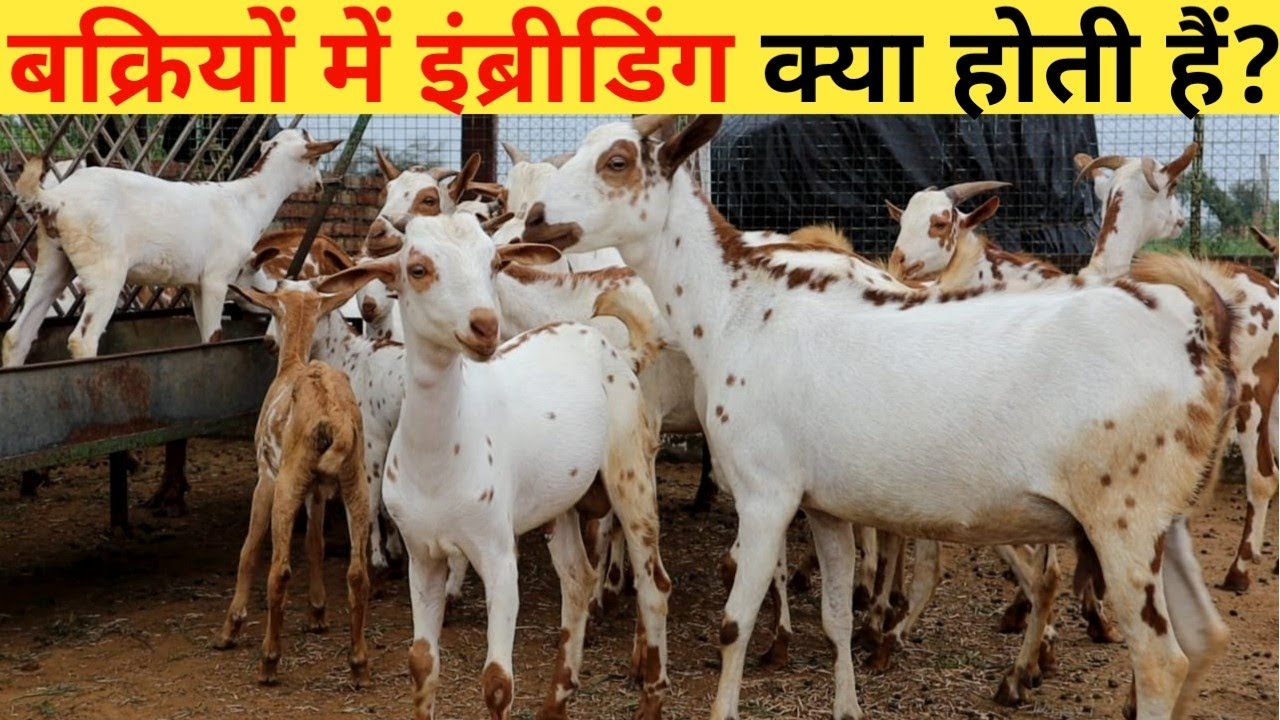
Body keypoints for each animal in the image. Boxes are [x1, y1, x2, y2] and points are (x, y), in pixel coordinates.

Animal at [5, 129, 340, 366]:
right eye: (314, 159)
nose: (321, 185)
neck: (245, 202)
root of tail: (57, 200)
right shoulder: (217, 278)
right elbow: (215, 335)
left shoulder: (196, 285)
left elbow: (205, 336)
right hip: (104, 268)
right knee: (82, 340)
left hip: (53, 259)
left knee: (16, 336)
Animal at [211, 279, 371, 688]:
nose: (267, 342)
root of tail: (332, 419)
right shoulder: (317, 491)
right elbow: (315, 543)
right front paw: (317, 613)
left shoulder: (267, 476)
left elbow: (250, 549)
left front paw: (229, 630)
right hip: (354, 482)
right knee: (357, 572)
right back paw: (358, 664)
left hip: (287, 483)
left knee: (280, 569)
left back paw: (268, 662)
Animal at [317, 213, 671, 720]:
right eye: (418, 269)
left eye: (495, 263)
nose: (485, 325)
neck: (440, 460)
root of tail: (619, 352)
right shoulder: (422, 555)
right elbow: (420, 662)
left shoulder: (498, 555)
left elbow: (498, 682)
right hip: (559, 504)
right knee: (577, 581)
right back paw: (556, 702)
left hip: (631, 473)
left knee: (654, 585)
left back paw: (649, 698)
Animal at [525, 114, 1237, 720]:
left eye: (617, 161)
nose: (533, 216)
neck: (736, 308)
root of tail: (1194, 336)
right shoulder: (823, 505)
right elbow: (837, 615)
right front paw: (849, 700)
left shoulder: (765, 493)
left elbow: (734, 623)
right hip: (1166, 518)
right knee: (1205, 637)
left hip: (1123, 516)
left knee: (1161, 660)